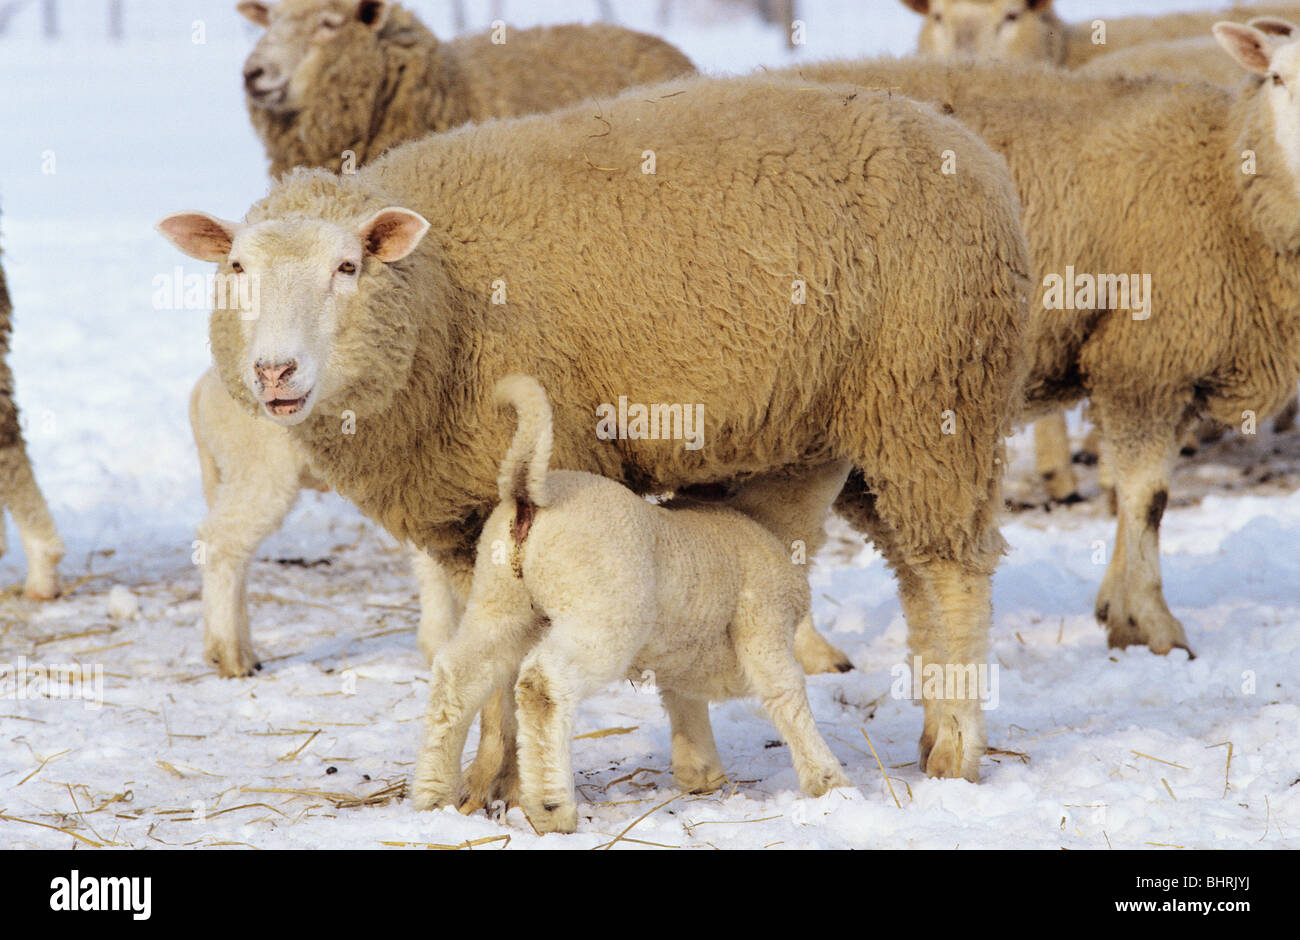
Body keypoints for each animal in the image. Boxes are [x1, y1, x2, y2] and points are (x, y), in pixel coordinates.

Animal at [412, 376, 852, 832]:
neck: (771, 519)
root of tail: (530, 497)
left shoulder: (683, 651)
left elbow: (683, 701)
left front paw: (701, 774)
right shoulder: (764, 622)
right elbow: (786, 693)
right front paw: (828, 780)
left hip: (500, 601)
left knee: (459, 674)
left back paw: (433, 795)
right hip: (601, 616)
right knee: (543, 684)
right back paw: (552, 808)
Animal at [792, 22, 1300, 656]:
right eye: (1277, 77)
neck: (1226, 174)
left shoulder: (1171, 367)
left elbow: (1138, 494)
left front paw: (1115, 610)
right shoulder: (1143, 359)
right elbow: (1148, 497)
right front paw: (1152, 624)